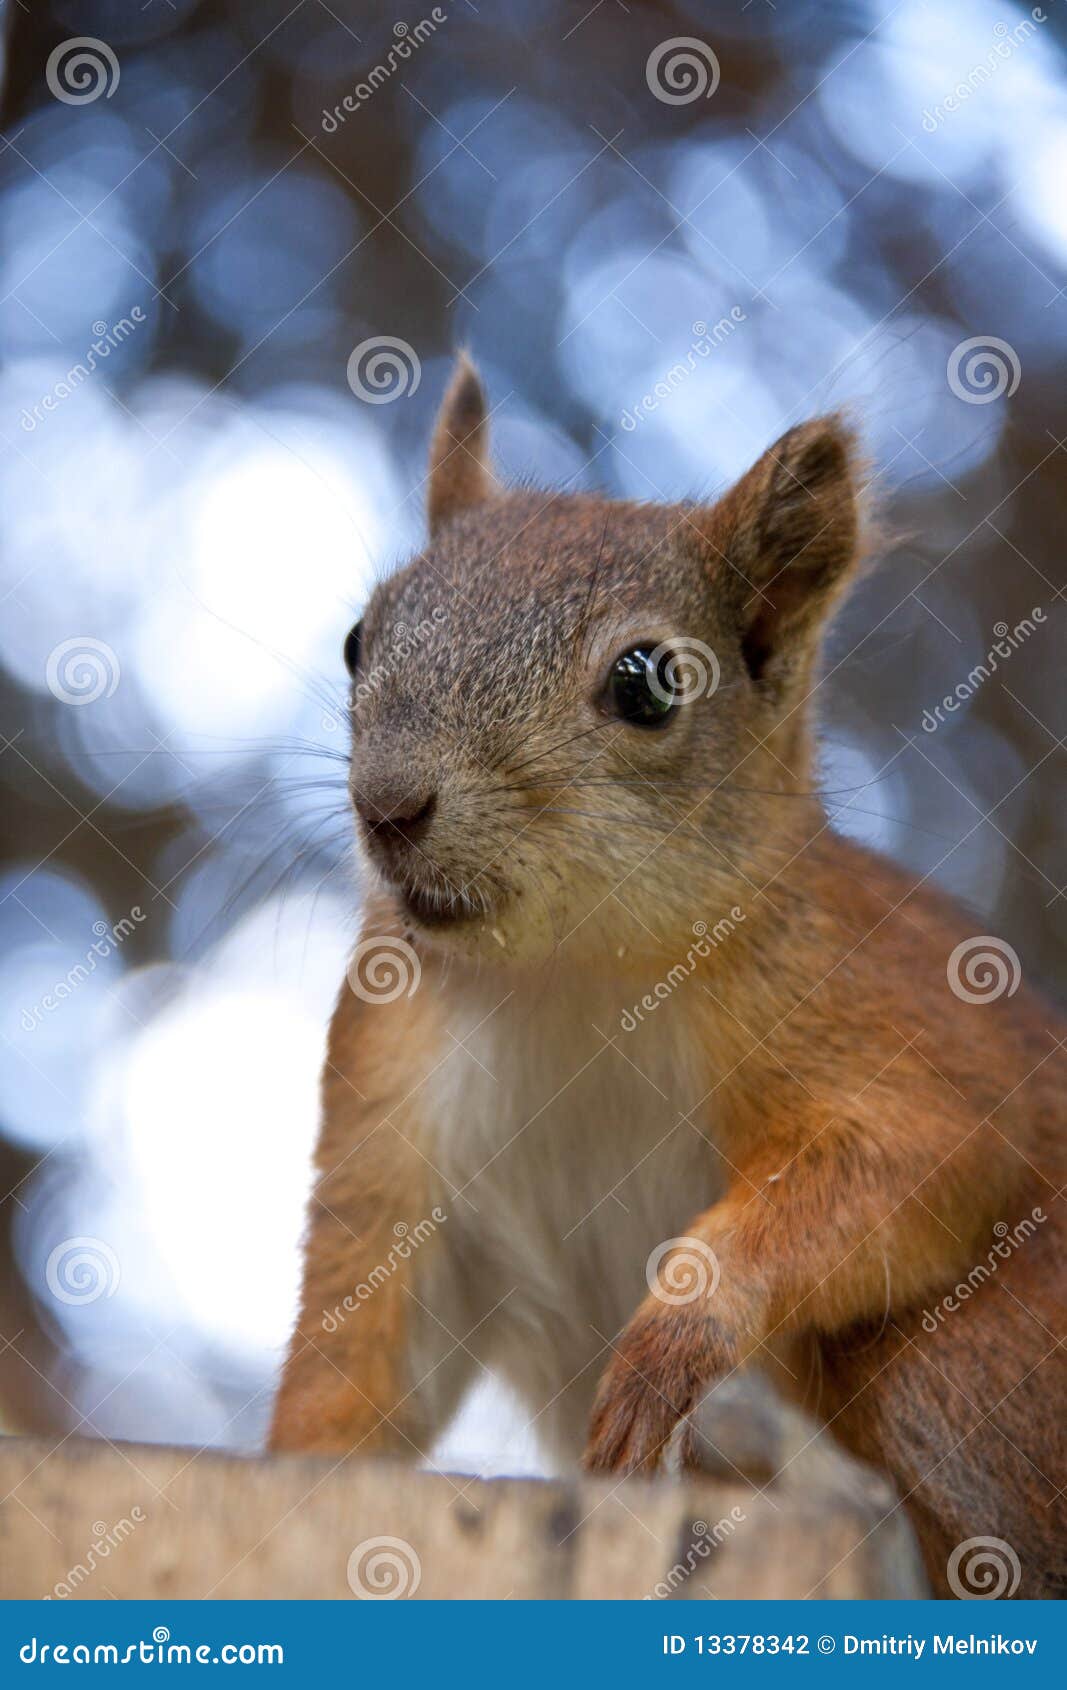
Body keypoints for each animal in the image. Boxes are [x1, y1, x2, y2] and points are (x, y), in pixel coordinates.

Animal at [271, 354, 1066, 1599]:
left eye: (649, 682)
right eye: (360, 637)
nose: (387, 805)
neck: (577, 973)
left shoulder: (869, 1010)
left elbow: (913, 1156)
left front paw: (673, 1337)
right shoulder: (389, 1101)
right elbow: (359, 1349)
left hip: (969, 1367)